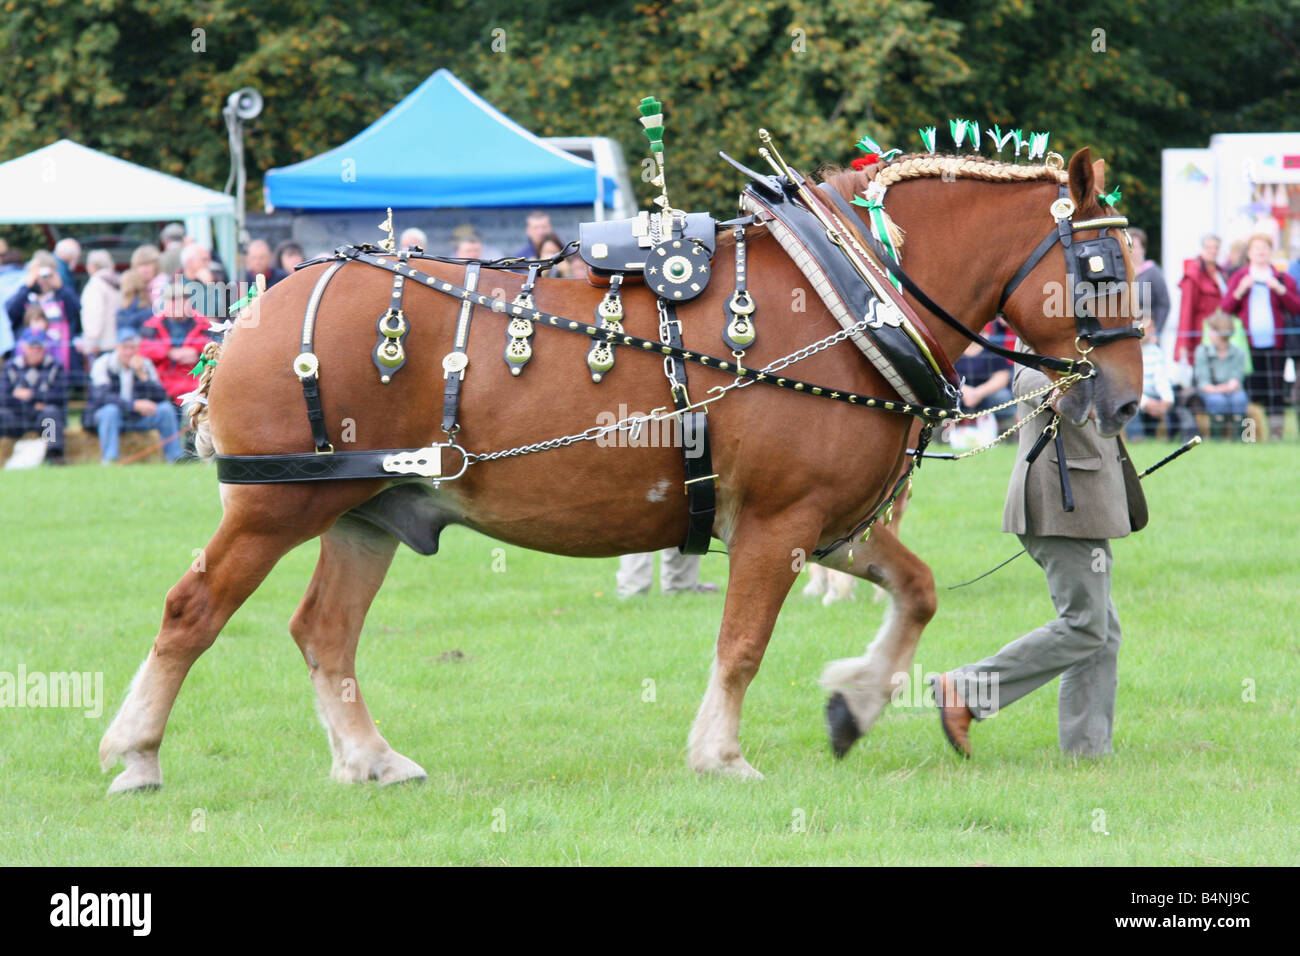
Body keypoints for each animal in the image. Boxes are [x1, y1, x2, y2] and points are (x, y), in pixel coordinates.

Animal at [98, 147, 1142, 791]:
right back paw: (137, 752)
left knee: (324, 633)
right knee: (193, 610)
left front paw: (853, 701)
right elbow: (742, 645)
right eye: (1100, 268)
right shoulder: (776, 523)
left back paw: (373, 760)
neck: (849, 297)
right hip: (277, 506)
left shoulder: (829, 523)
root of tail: (254, 306)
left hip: (370, 510)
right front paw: (720, 755)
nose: (1128, 395)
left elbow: (917, 592)